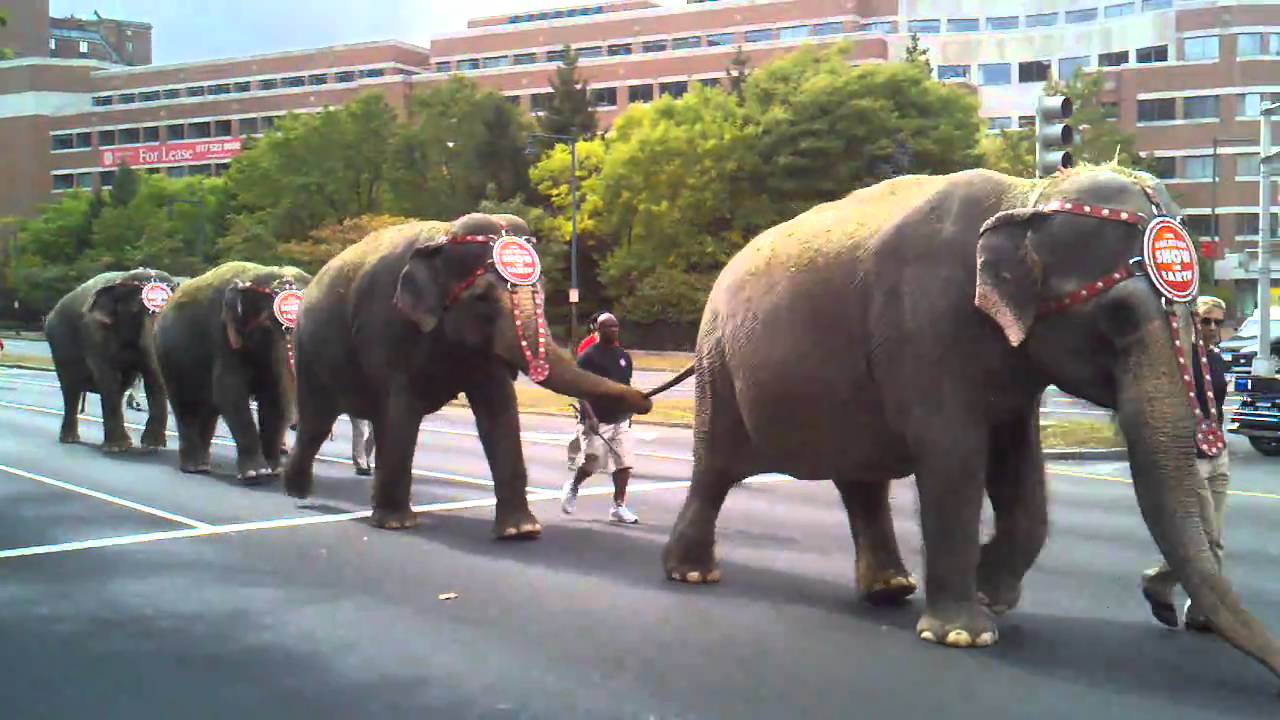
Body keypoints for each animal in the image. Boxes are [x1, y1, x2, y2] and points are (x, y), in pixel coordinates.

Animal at [44, 268, 177, 452]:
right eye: (137, 310)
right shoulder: (94, 332)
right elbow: (108, 377)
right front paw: (118, 448)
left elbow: (152, 378)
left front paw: (152, 446)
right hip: (59, 346)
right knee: (70, 390)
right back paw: (70, 439)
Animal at [155, 261, 312, 483]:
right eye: (268, 326)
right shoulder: (222, 337)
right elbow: (230, 394)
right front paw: (256, 473)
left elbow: (273, 399)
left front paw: (274, 471)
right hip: (168, 359)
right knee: (185, 404)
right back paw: (193, 467)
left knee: (208, 409)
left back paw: (203, 465)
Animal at [283, 213, 653, 537]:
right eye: (483, 299)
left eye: (544, 294)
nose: (645, 402)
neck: (444, 236)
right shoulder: (386, 326)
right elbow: (402, 408)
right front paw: (396, 524)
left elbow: (499, 408)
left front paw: (521, 531)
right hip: (308, 351)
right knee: (318, 422)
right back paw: (299, 493)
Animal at [658, 164, 1280, 683]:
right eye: (1118, 316)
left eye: (1194, 310)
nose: (1160, 601)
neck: (1026, 198)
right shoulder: (926, 327)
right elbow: (955, 460)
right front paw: (965, 633)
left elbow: (1021, 471)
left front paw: (991, 592)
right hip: (719, 364)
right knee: (715, 467)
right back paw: (692, 575)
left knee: (861, 481)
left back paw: (890, 589)